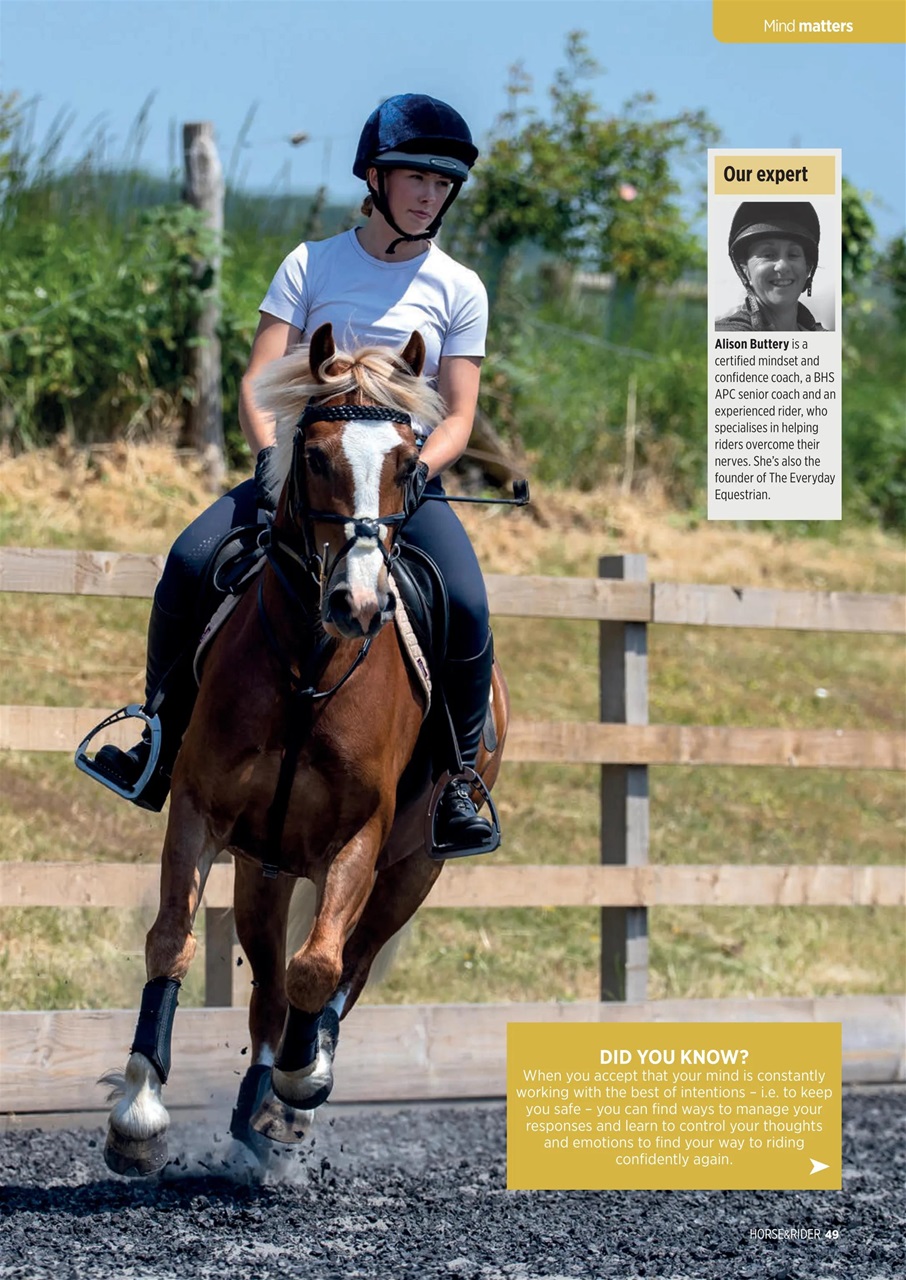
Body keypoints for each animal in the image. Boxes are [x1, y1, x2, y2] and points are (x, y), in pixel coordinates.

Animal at [101, 323, 510, 1177]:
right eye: (315, 456)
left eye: (408, 464)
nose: (357, 603)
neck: (310, 666)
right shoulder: (200, 811)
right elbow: (172, 939)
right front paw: (139, 1113)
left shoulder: (360, 835)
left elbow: (319, 967)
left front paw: (300, 1086)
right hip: (267, 865)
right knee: (267, 990)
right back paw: (255, 1111)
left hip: (412, 869)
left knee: (347, 969)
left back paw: (294, 1094)